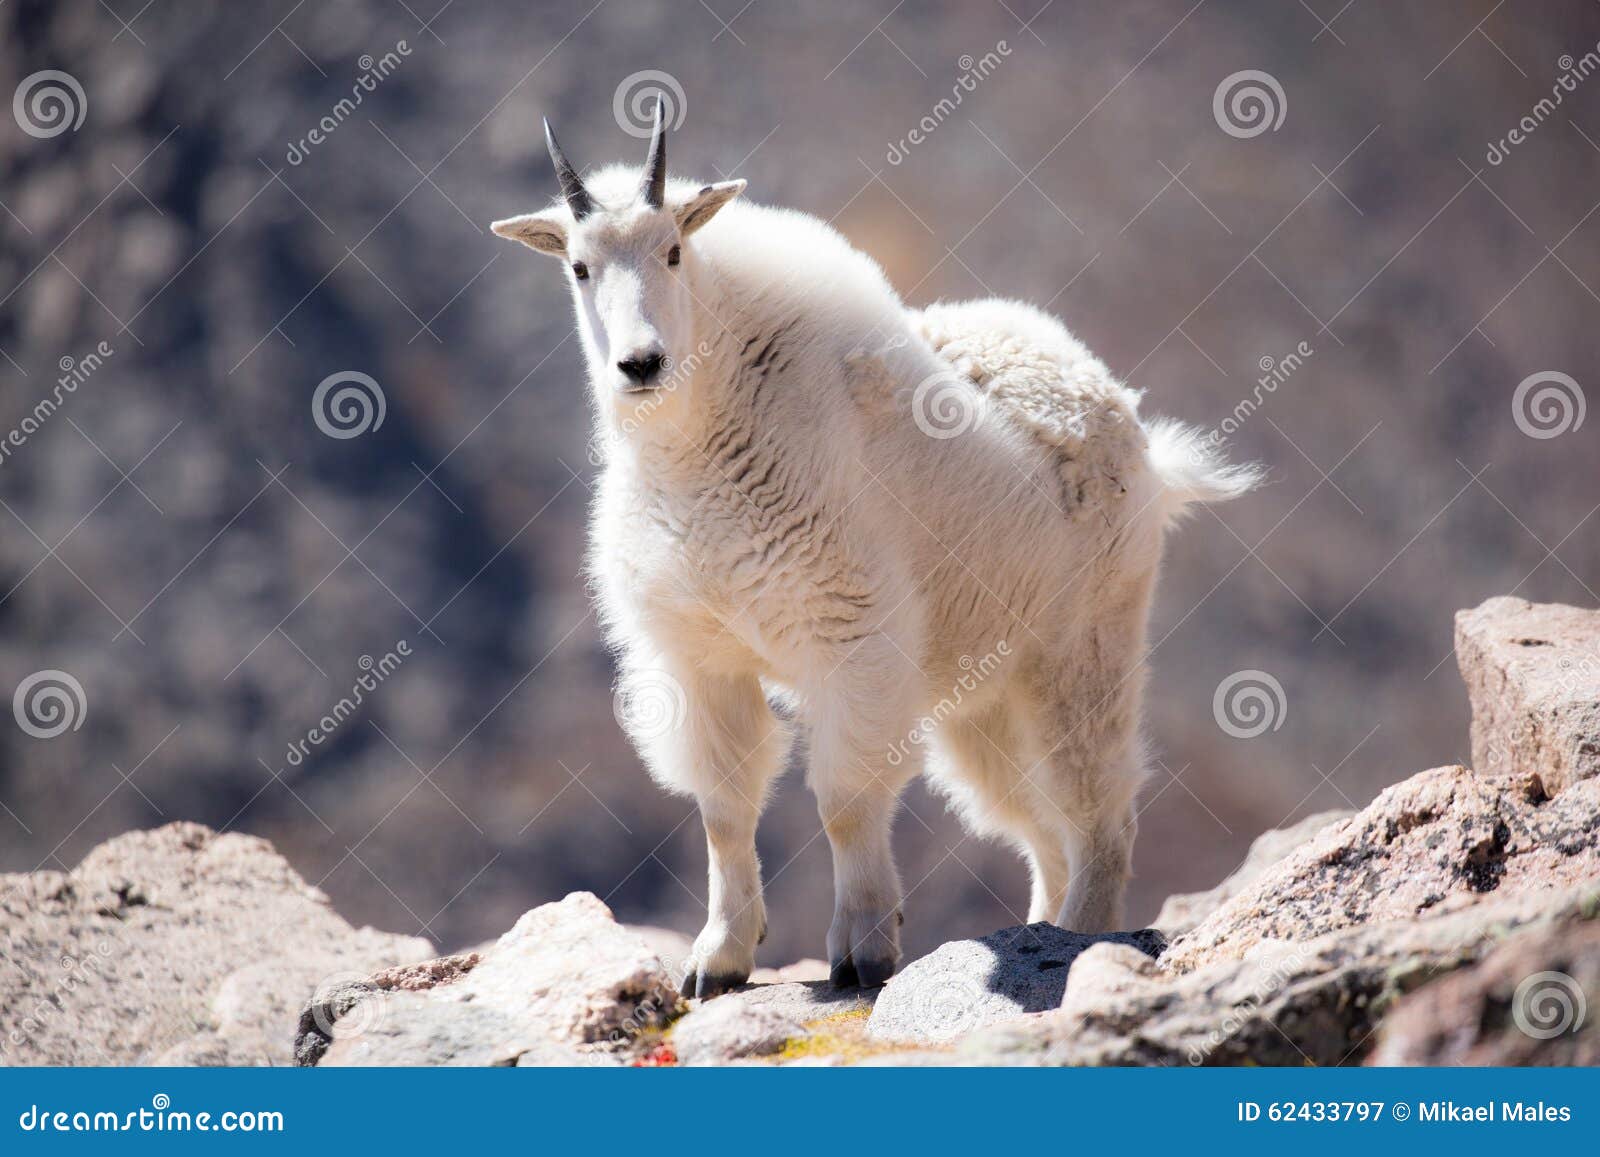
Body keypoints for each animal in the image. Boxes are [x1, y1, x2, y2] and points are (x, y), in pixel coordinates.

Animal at [491, 100, 1257, 997]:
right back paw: (1037, 928)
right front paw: (719, 956)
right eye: (579, 268)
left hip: (1084, 648)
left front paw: (864, 947)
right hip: (988, 690)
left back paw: (1078, 937)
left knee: (1099, 807)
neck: (701, 439)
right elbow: (724, 803)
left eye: (674, 250)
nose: (641, 363)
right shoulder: (699, 655)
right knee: (1038, 822)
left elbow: (845, 797)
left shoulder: (848, 636)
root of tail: (1130, 422)